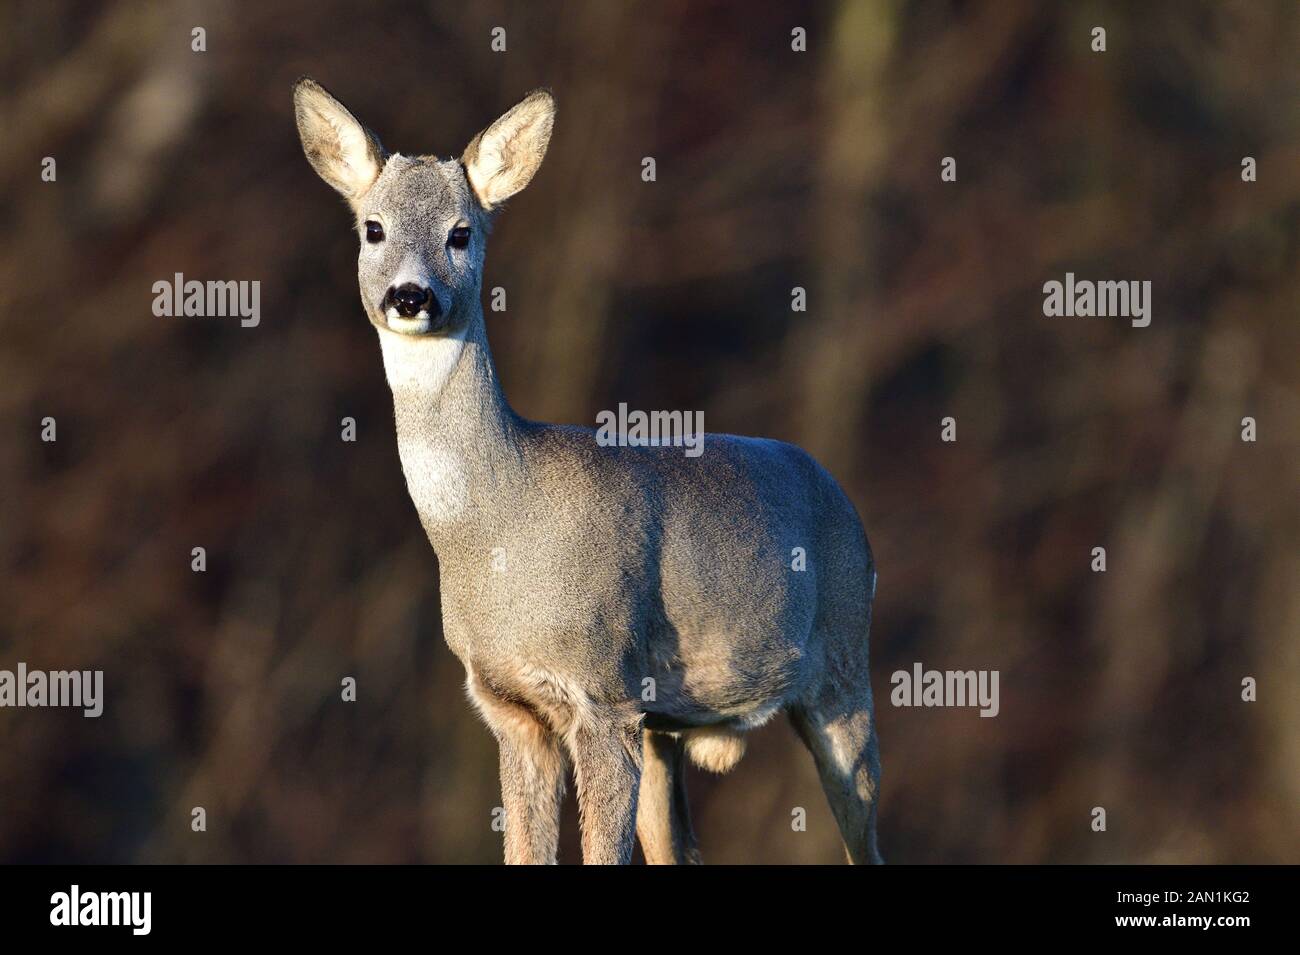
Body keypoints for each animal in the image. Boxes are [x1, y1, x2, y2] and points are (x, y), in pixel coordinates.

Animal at [293, 78, 882, 864]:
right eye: (373, 229)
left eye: (461, 232)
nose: (410, 297)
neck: (498, 529)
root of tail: (843, 498)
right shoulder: (511, 707)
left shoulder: (603, 693)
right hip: (672, 724)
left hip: (843, 672)